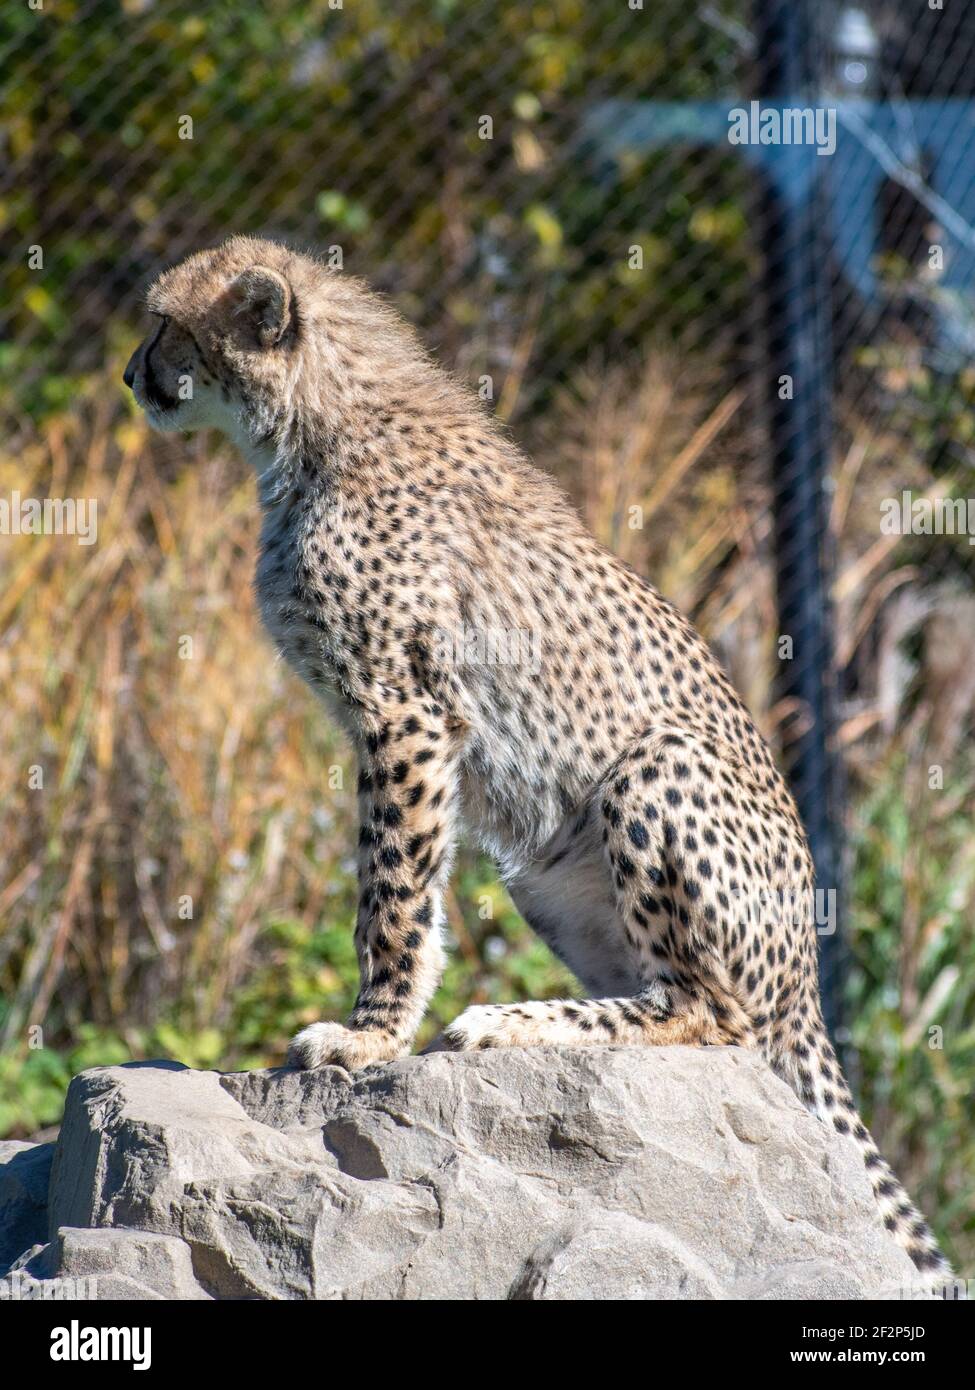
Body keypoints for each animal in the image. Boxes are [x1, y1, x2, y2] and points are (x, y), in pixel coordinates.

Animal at [123, 235, 951, 1287]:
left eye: (166, 324)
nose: (130, 374)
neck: (312, 426)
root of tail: (807, 973)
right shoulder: (402, 725)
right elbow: (410, 894)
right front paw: (384, 1031)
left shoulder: (407, 712)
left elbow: (389, 899)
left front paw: (369, 1035)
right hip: (544, 877)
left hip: (653, 767)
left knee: (712, 1016)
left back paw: (508, 1023)